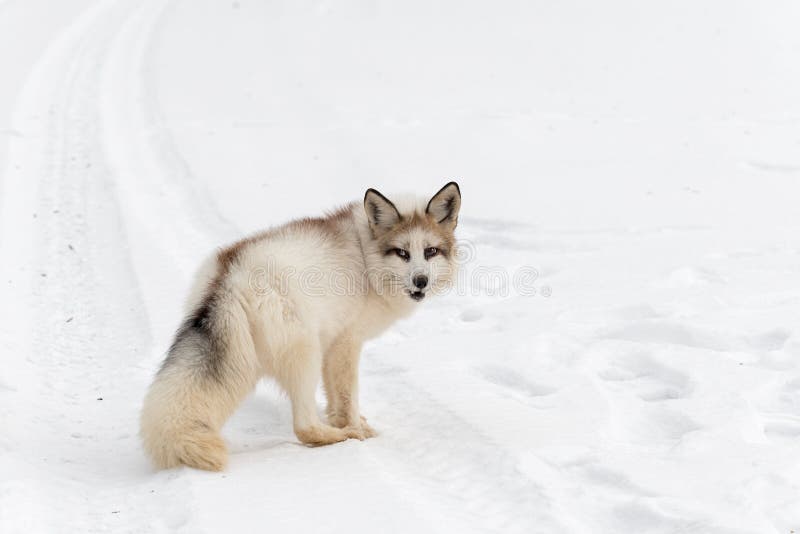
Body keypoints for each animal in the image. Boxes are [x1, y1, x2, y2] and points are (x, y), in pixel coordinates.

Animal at [140, 182, 461, 471]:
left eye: (431, 251)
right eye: (402, 253)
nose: (421, 281)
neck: (367, 258)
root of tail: (231, 274)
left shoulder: (333, 346)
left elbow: (336, 398)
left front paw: (343, 419)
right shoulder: (346, 343)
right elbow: (349, 397)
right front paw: (356, 428)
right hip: (306, 354)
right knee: (304, 427)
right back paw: (343, 436)